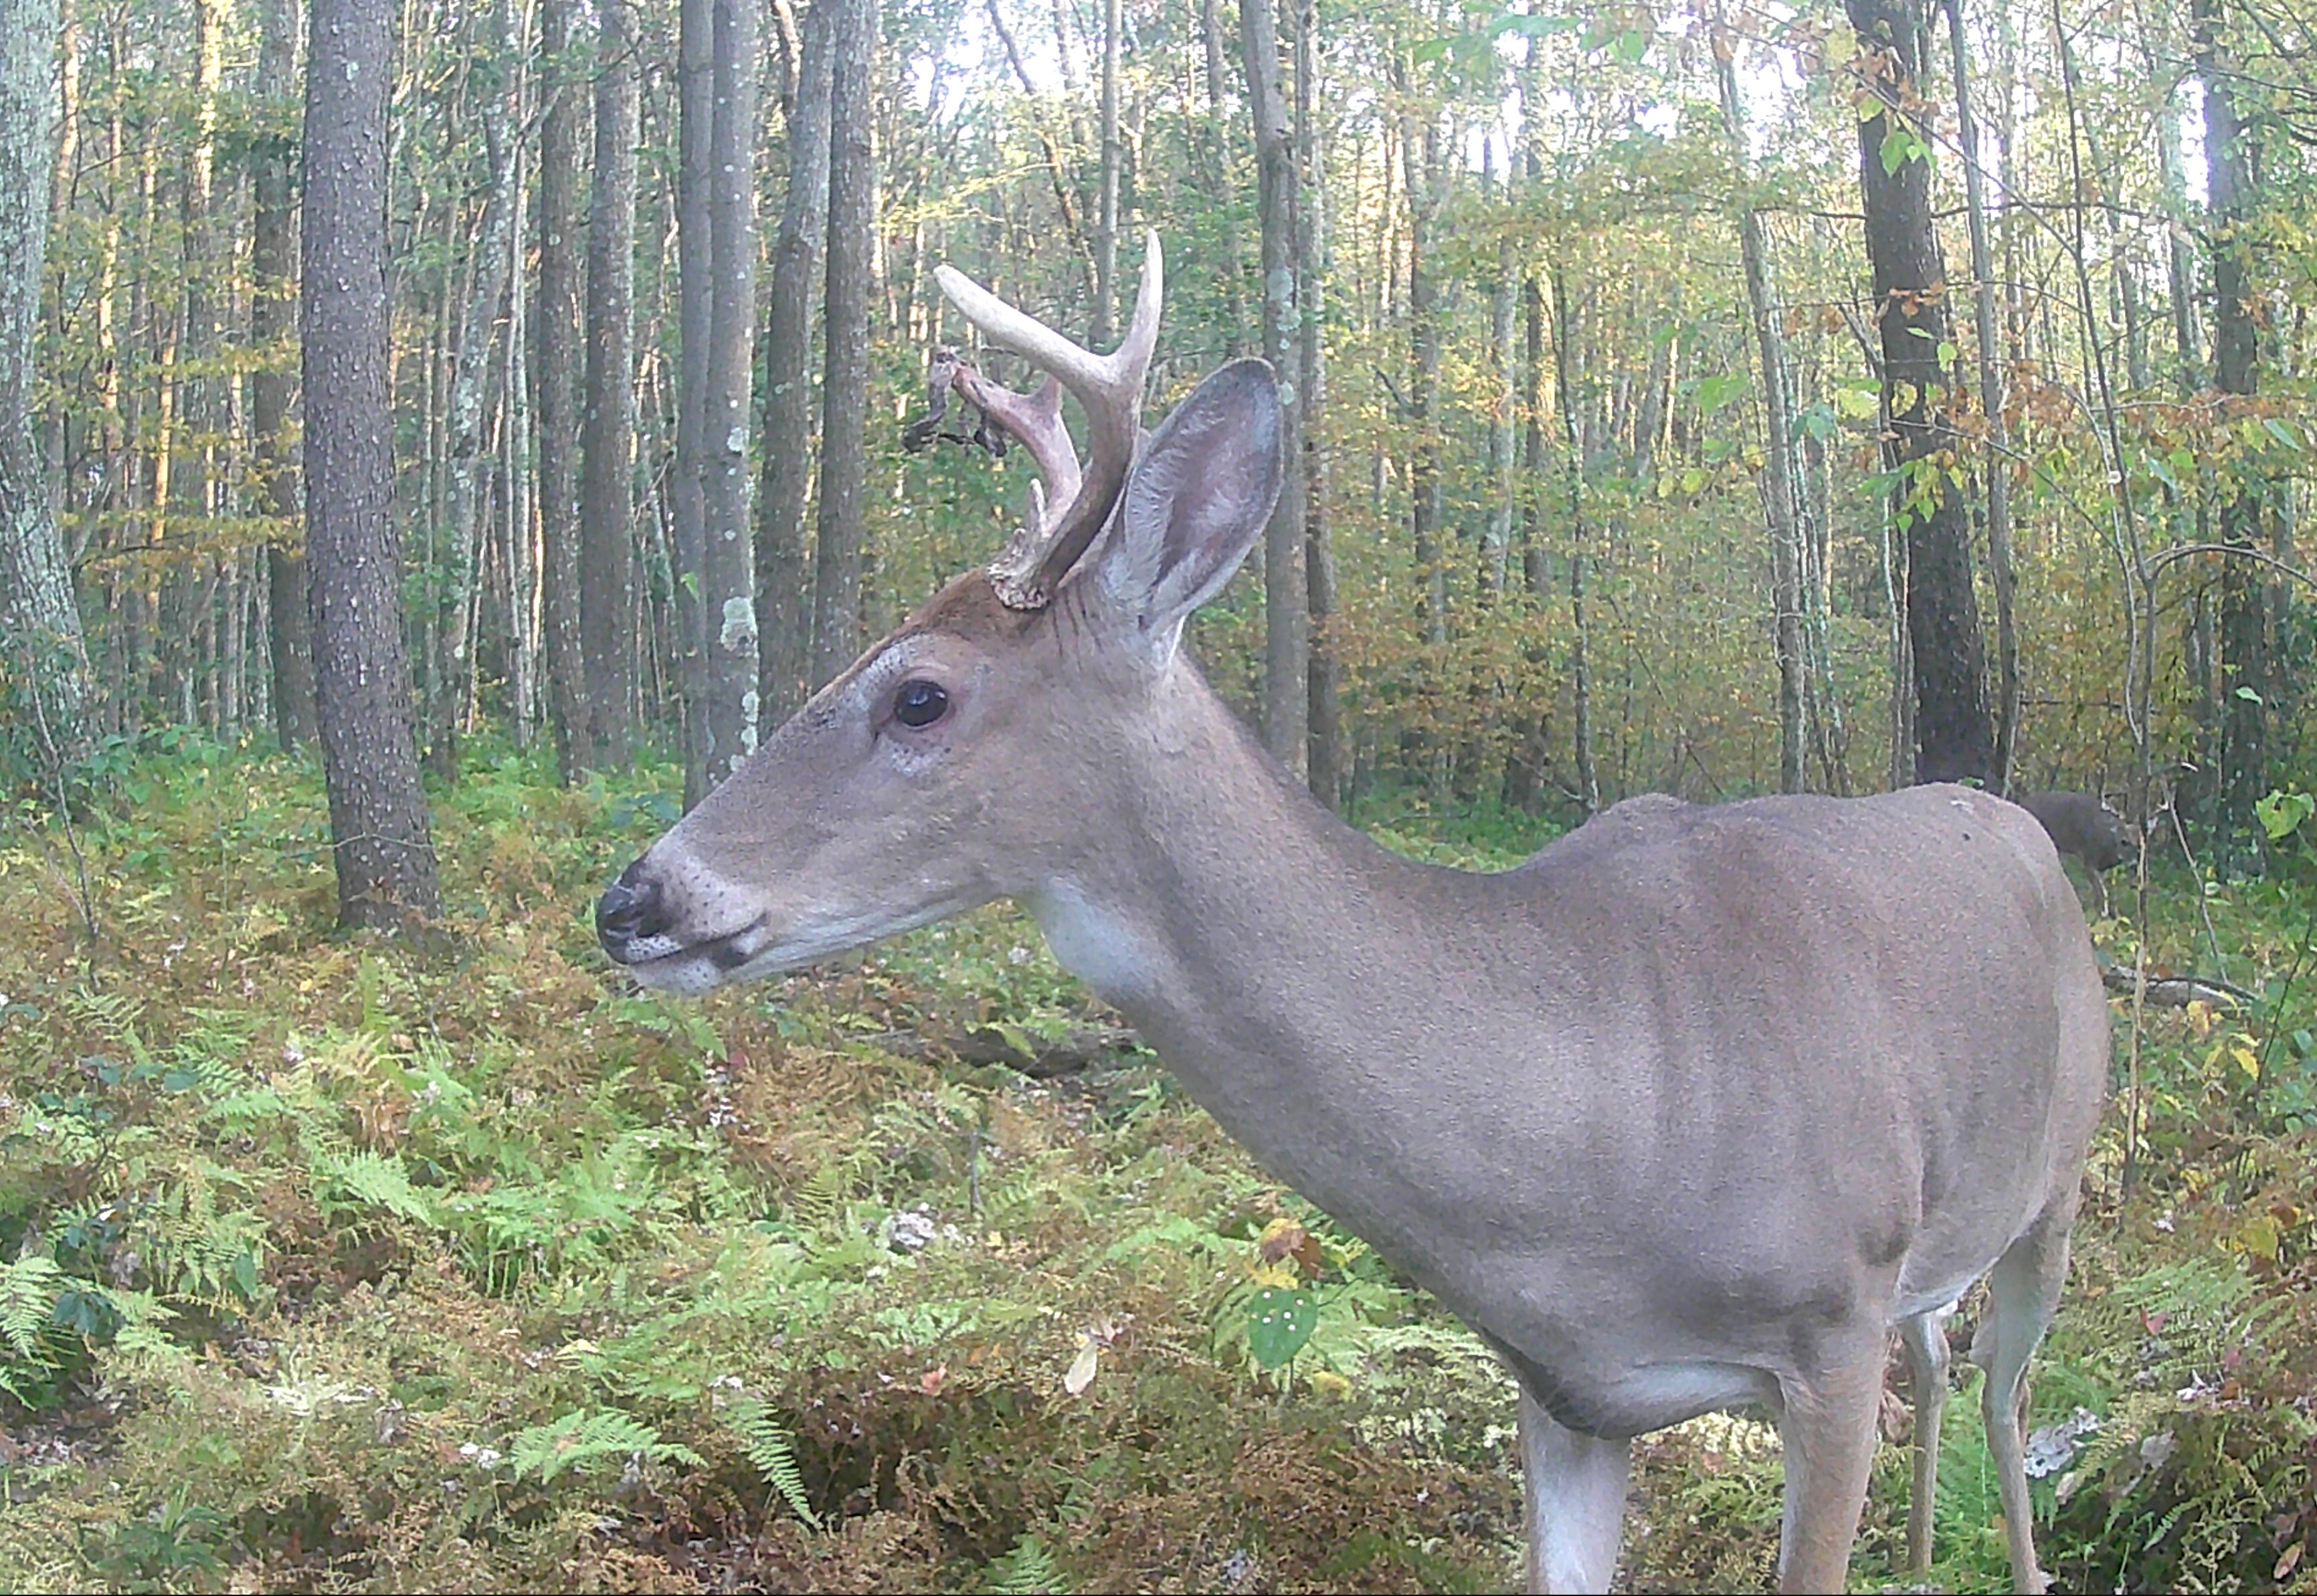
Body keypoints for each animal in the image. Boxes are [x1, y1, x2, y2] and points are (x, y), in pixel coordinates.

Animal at [596, 235, 2108, 1595]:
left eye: (919, 693)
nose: (634, 896)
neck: (1602, 1137)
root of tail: (2024, 824)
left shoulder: (1831, 1324)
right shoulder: (1565, 1393)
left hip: (2056, 1178)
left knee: (2003, 1388)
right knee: (1944, 1352)